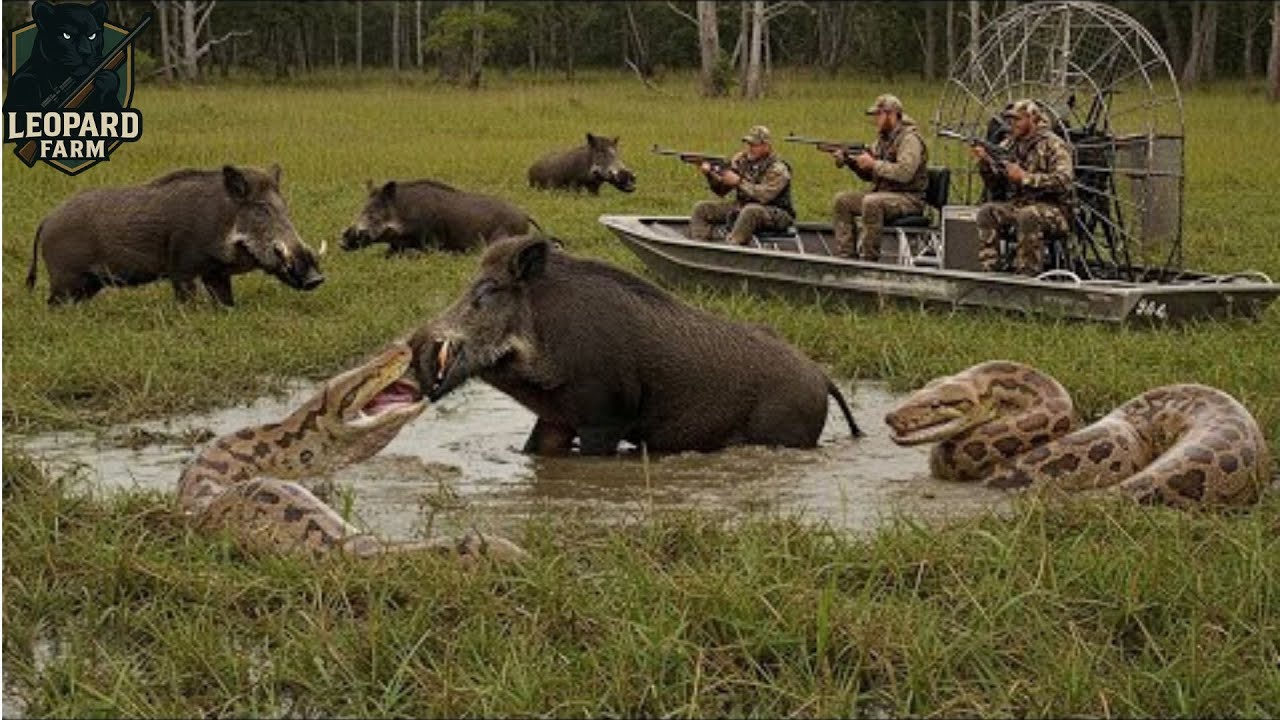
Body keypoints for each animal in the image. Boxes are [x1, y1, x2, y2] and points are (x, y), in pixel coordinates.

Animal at [26, 164, 324, 306]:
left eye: (284, 206)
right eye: (261, 209)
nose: (316, 279)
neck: (222, 220)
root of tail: (47, 219)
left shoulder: (216, 274)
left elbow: (226, 302)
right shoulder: (182, 270)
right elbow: (186, 300)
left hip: (87, 284)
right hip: (65, 279)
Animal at [340, 179, 541, 257]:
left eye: (373, 213)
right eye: (361, 210)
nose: (342, 242)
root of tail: (524, 215)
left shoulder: (431, 241)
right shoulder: (397, 246)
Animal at [408, 234, 861, 455]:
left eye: (487, 291)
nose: (414, 345)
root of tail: (821, 377)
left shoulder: (606, 417)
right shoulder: (557, 418)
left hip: (786, 435)